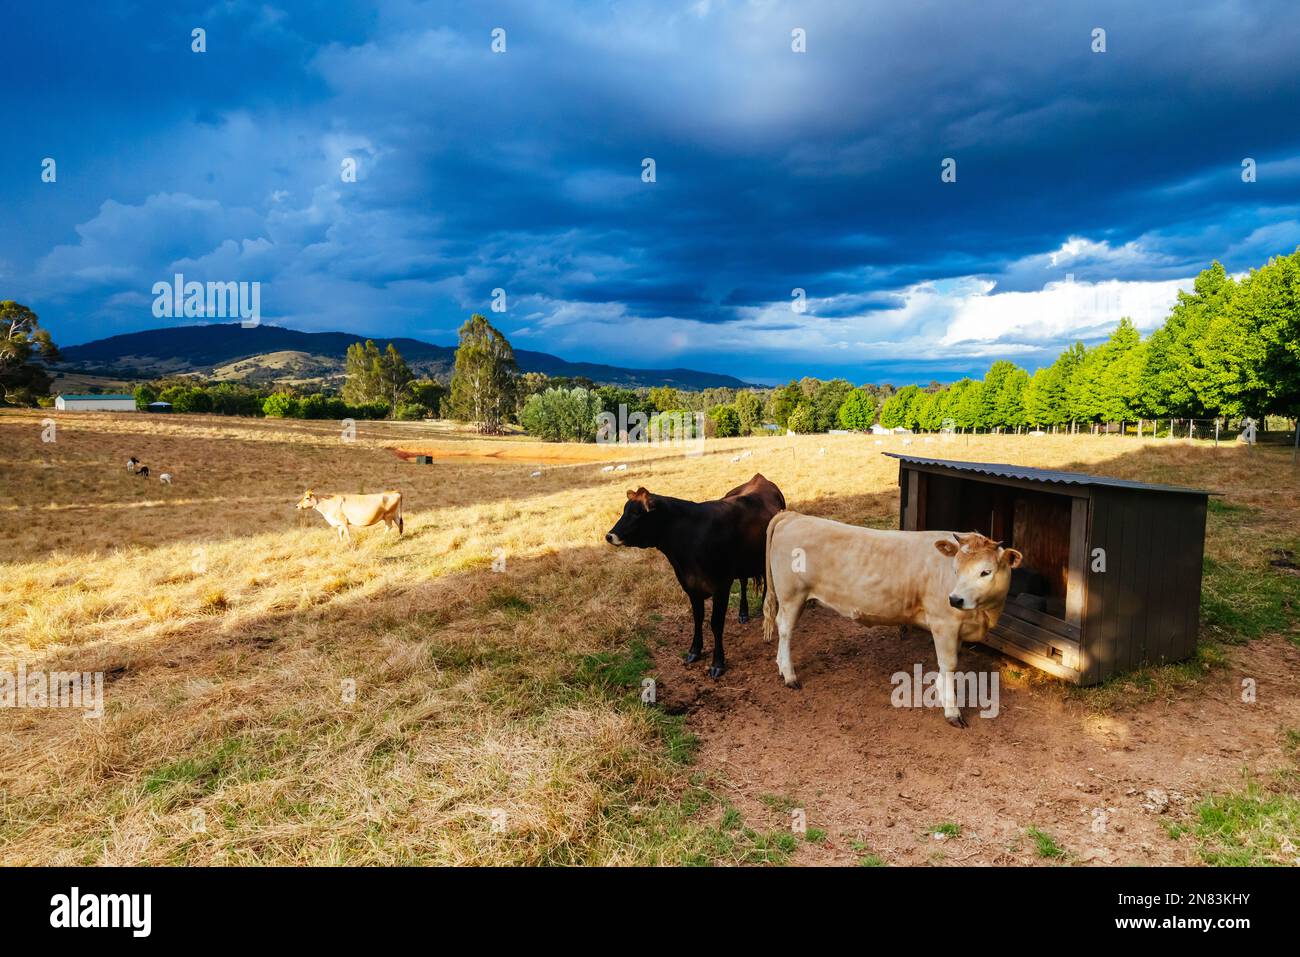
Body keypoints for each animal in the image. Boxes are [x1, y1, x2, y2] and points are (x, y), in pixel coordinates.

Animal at [763, 512, 1021, 727]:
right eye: (955, 569)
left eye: (986, 571)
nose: (955, 599)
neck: (984, 614)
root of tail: (795, 515)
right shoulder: (944, 623)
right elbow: (949, 664)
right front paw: (952, 711)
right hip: (792, 595)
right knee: (785, 630)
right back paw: (789, 674)